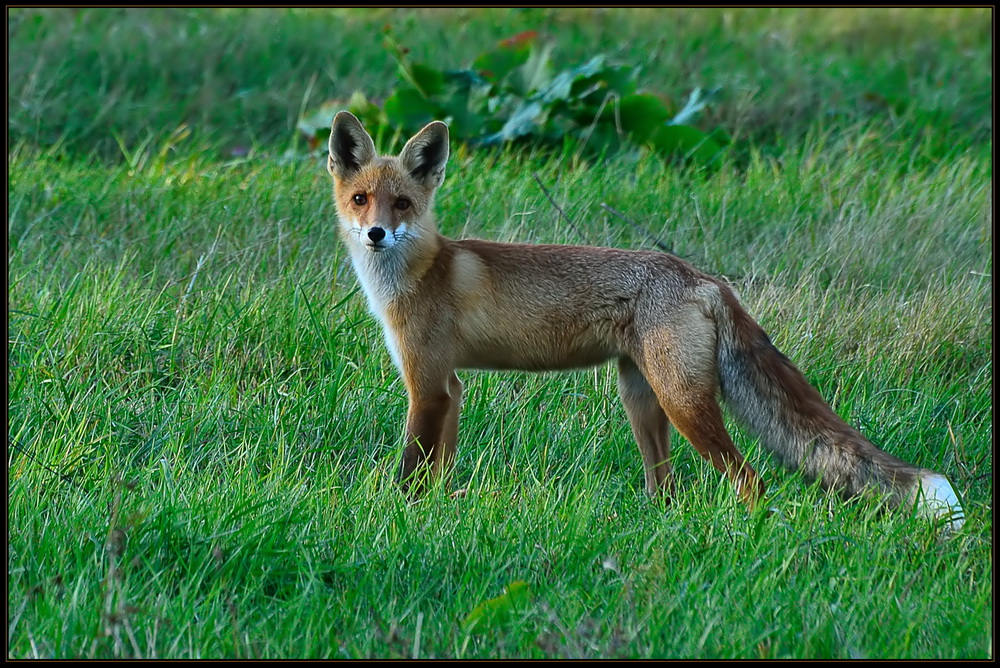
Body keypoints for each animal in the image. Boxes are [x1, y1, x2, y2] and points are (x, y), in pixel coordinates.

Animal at [324, 108, 964, 528]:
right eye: (361, 200)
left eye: (402, 204)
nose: (376, 233)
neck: (420, 272)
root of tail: (703, 276)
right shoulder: (451, 386)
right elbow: (439, 468)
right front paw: (434, 513)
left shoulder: (428, 385)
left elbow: (411, 468)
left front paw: (397, 515)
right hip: (641, 399)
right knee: (669, 488)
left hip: (683, 403)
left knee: (748, 478)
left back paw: (750, 532)